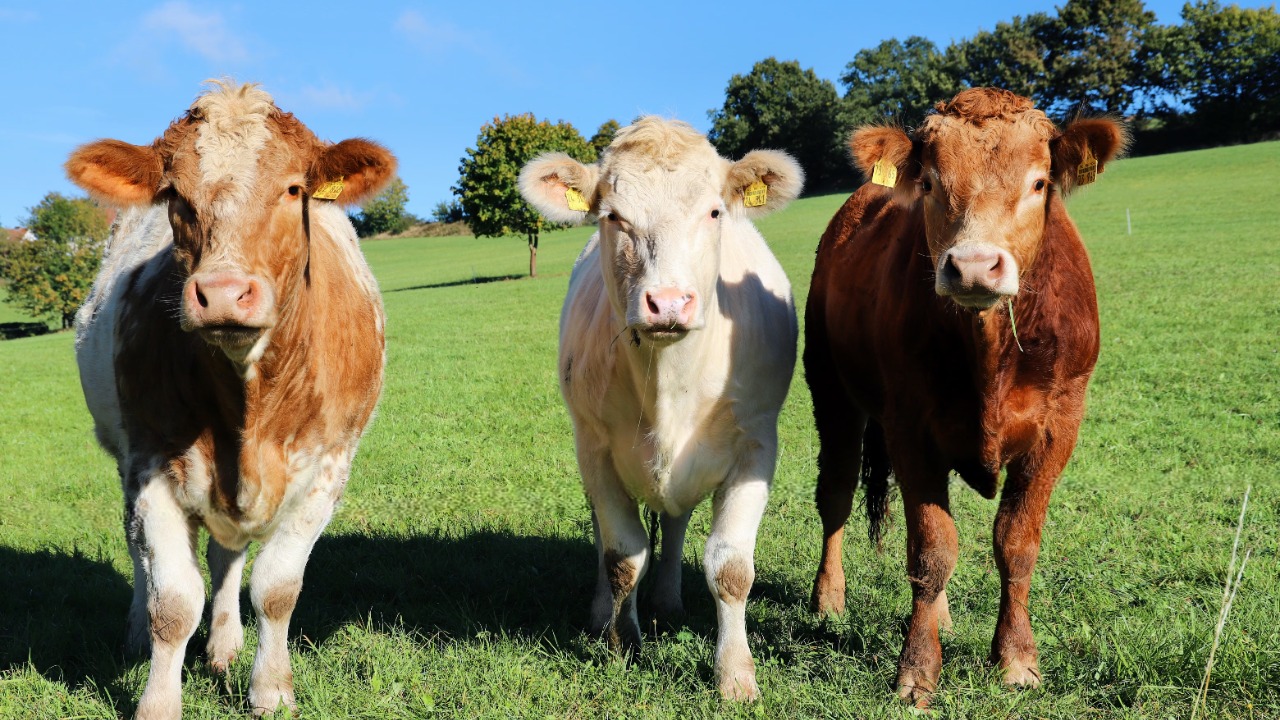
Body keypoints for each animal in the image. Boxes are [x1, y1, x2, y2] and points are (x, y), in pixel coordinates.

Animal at [65, 81, 395, 719]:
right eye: (174, 193)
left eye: (293, 189)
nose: (221, 293)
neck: (249, 409)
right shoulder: (150, 464)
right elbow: (172, 601)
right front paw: (158, 702)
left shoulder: (327, 470)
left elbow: (275, 588)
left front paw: (270, 689)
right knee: (141, 551)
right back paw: (137, 634)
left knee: (226, 559)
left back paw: (224, 642)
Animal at [518, 117, 802, 700]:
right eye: (613, 216)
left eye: (714, 212)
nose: (668, 303)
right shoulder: (595, 447)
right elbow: (623, 555)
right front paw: (622, 641)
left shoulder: (757, 444)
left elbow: (730, 566)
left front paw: (734, 674)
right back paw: (601, 609)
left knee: (674, 523)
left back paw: (668, 599)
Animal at [804, 88, 1126, 706]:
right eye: (930, 182)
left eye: (1039, 183)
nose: (974, 265)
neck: (989, 350)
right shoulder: (908, 426)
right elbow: (931, 550)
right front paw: (917, 671)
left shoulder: (1059, 426)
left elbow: (1015, 543)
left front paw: (1017, 659)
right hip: (831, 391)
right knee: (835, 494)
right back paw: (828, 598)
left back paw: (944, 617)